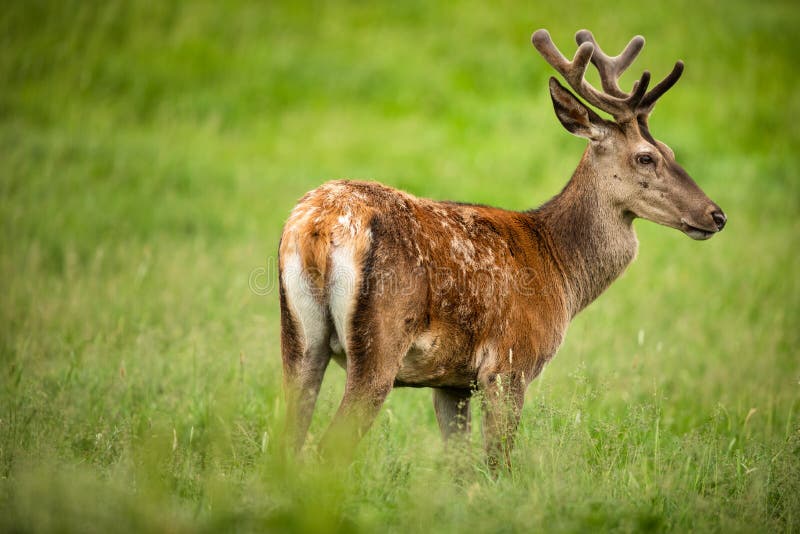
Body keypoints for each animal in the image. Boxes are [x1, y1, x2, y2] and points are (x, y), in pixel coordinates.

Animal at [277, 29, 726, 470]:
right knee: (328, 449)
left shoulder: (451, 380)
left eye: (670, 150)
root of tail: (319, 225)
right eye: (646, 157)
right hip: (380, 340)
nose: (716, 214)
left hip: (298, 339)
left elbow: (459, 468)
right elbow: (498, 464)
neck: (559, 269)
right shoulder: (510, 363)